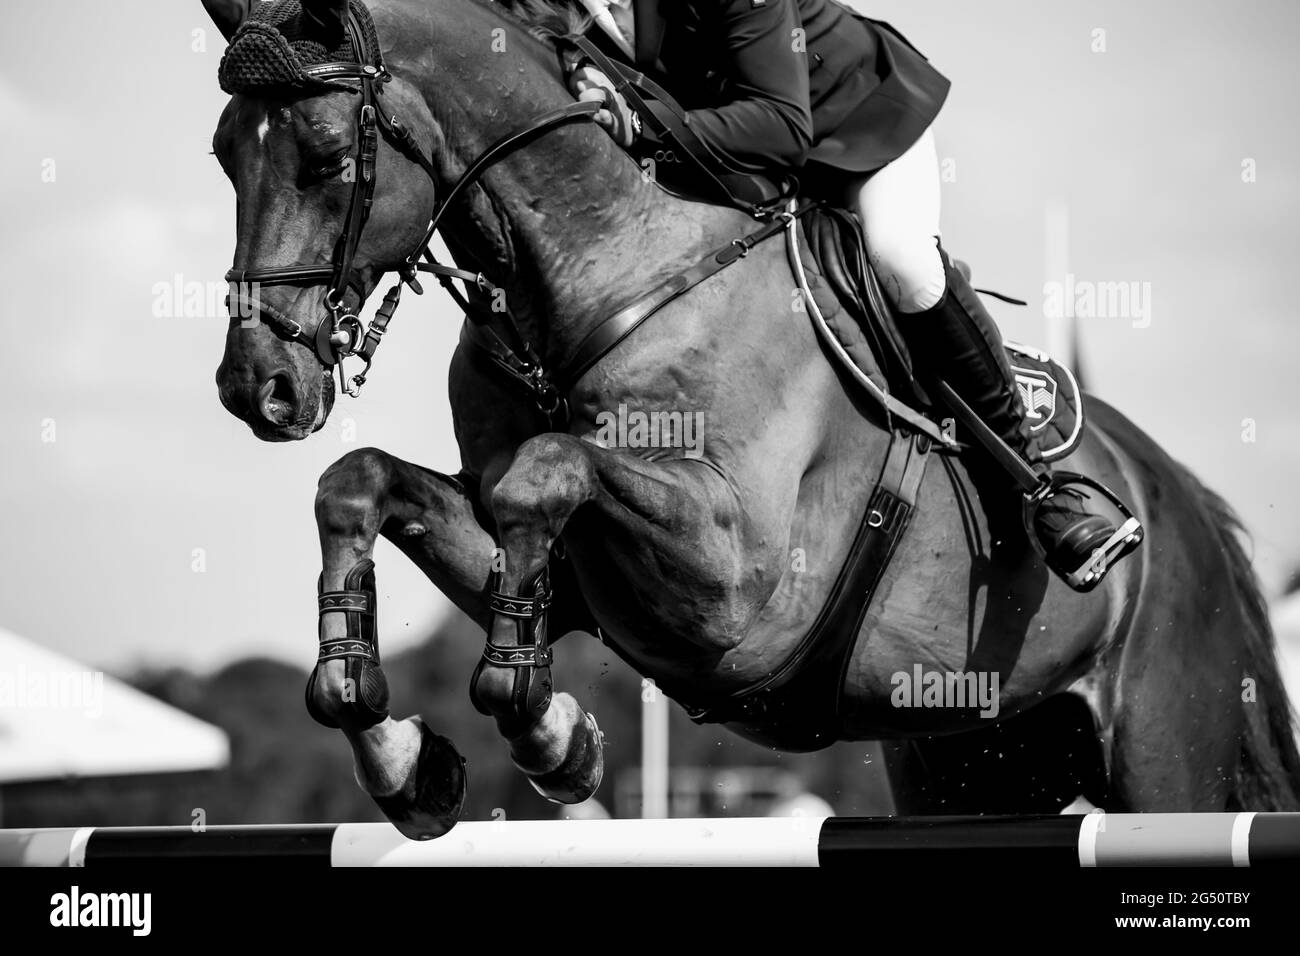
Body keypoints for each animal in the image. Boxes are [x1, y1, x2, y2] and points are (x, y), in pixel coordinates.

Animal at [204, 0, 1300, 837]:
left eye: (324, 156)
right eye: (222, 157)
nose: (255, 386)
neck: (594, 270)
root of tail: (1184, 499)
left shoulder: (740, 578)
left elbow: (547, 471)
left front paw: (551, 735)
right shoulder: (574, 578)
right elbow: (361, 482)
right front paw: (399, 750)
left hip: (1168, 750)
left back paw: (1072, 513)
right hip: (970, 752)